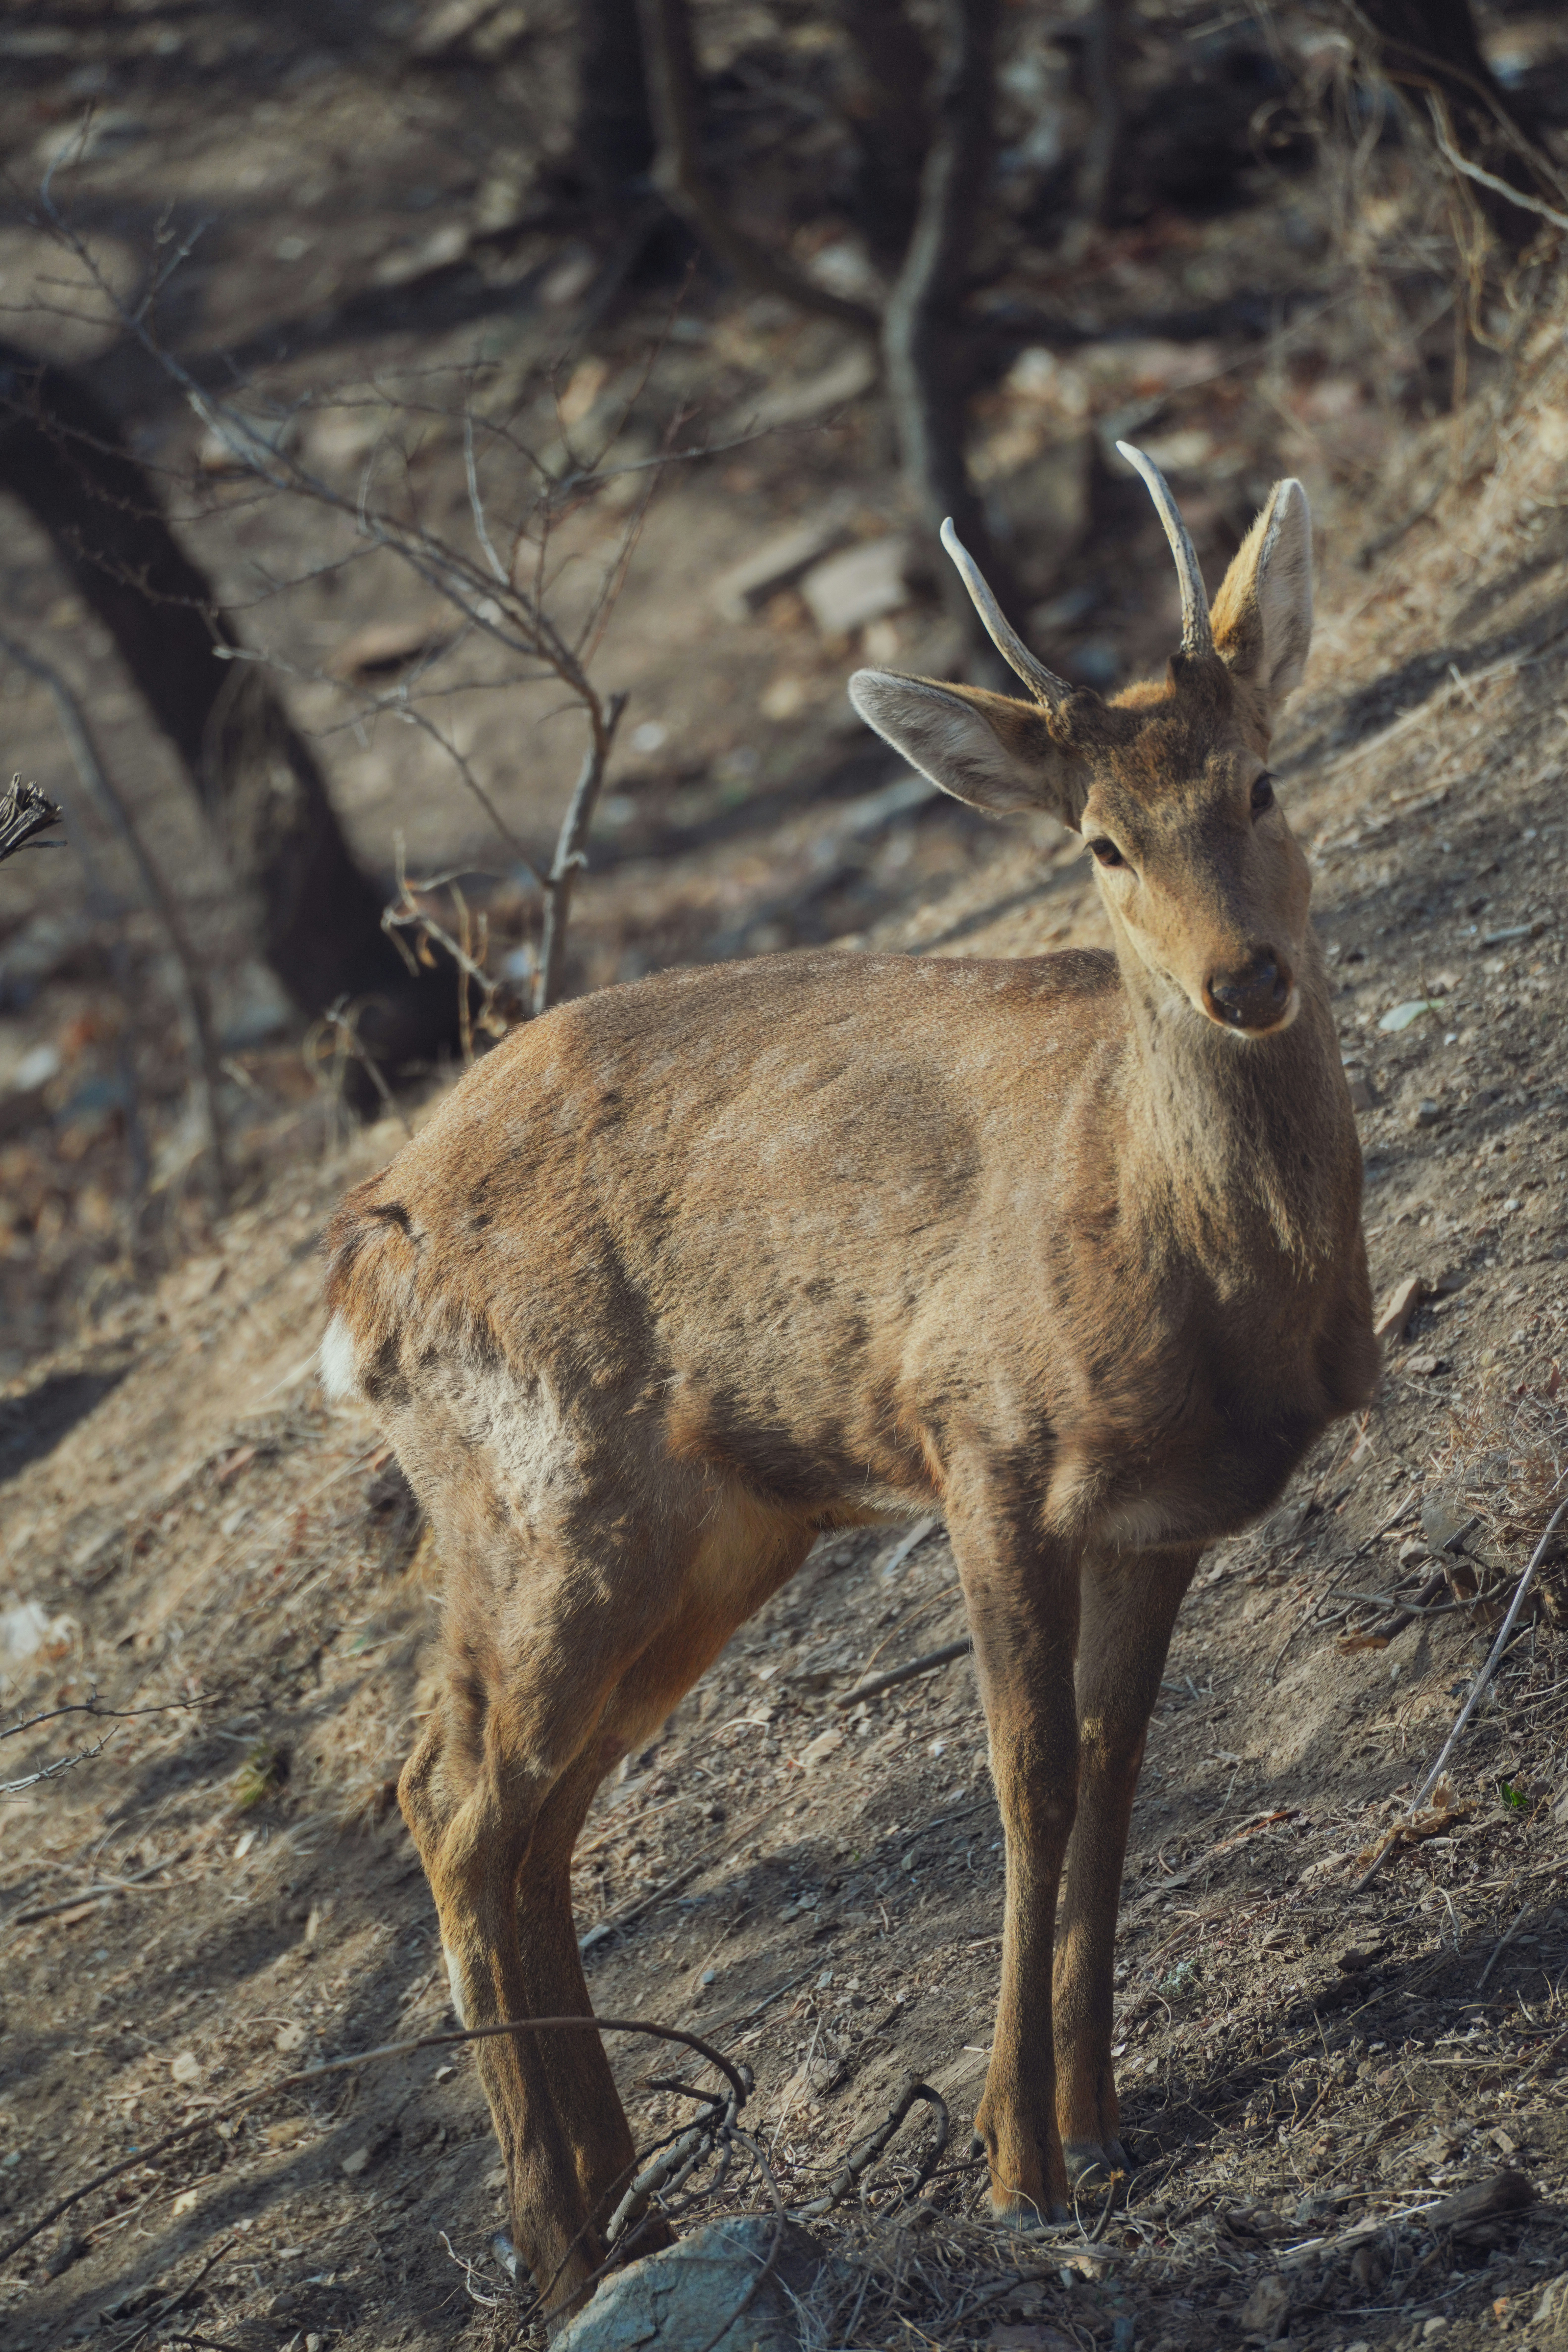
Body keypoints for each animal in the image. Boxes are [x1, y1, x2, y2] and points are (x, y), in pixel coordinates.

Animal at [320, 444, 1377, 2325]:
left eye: (1260, 775)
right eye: (1099, 843)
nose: (1242, 975)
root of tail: (362, 1262)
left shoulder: (1159, 1516)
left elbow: (1116, 1764)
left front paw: (1098, 2123)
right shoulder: (983, 1446)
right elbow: (1027, 1778)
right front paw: (1020, 2166)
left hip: (719, 1529)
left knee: (530, 1811)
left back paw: (619, 2192)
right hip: (550, 1495)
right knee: (443, 1793)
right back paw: (552, 2236)